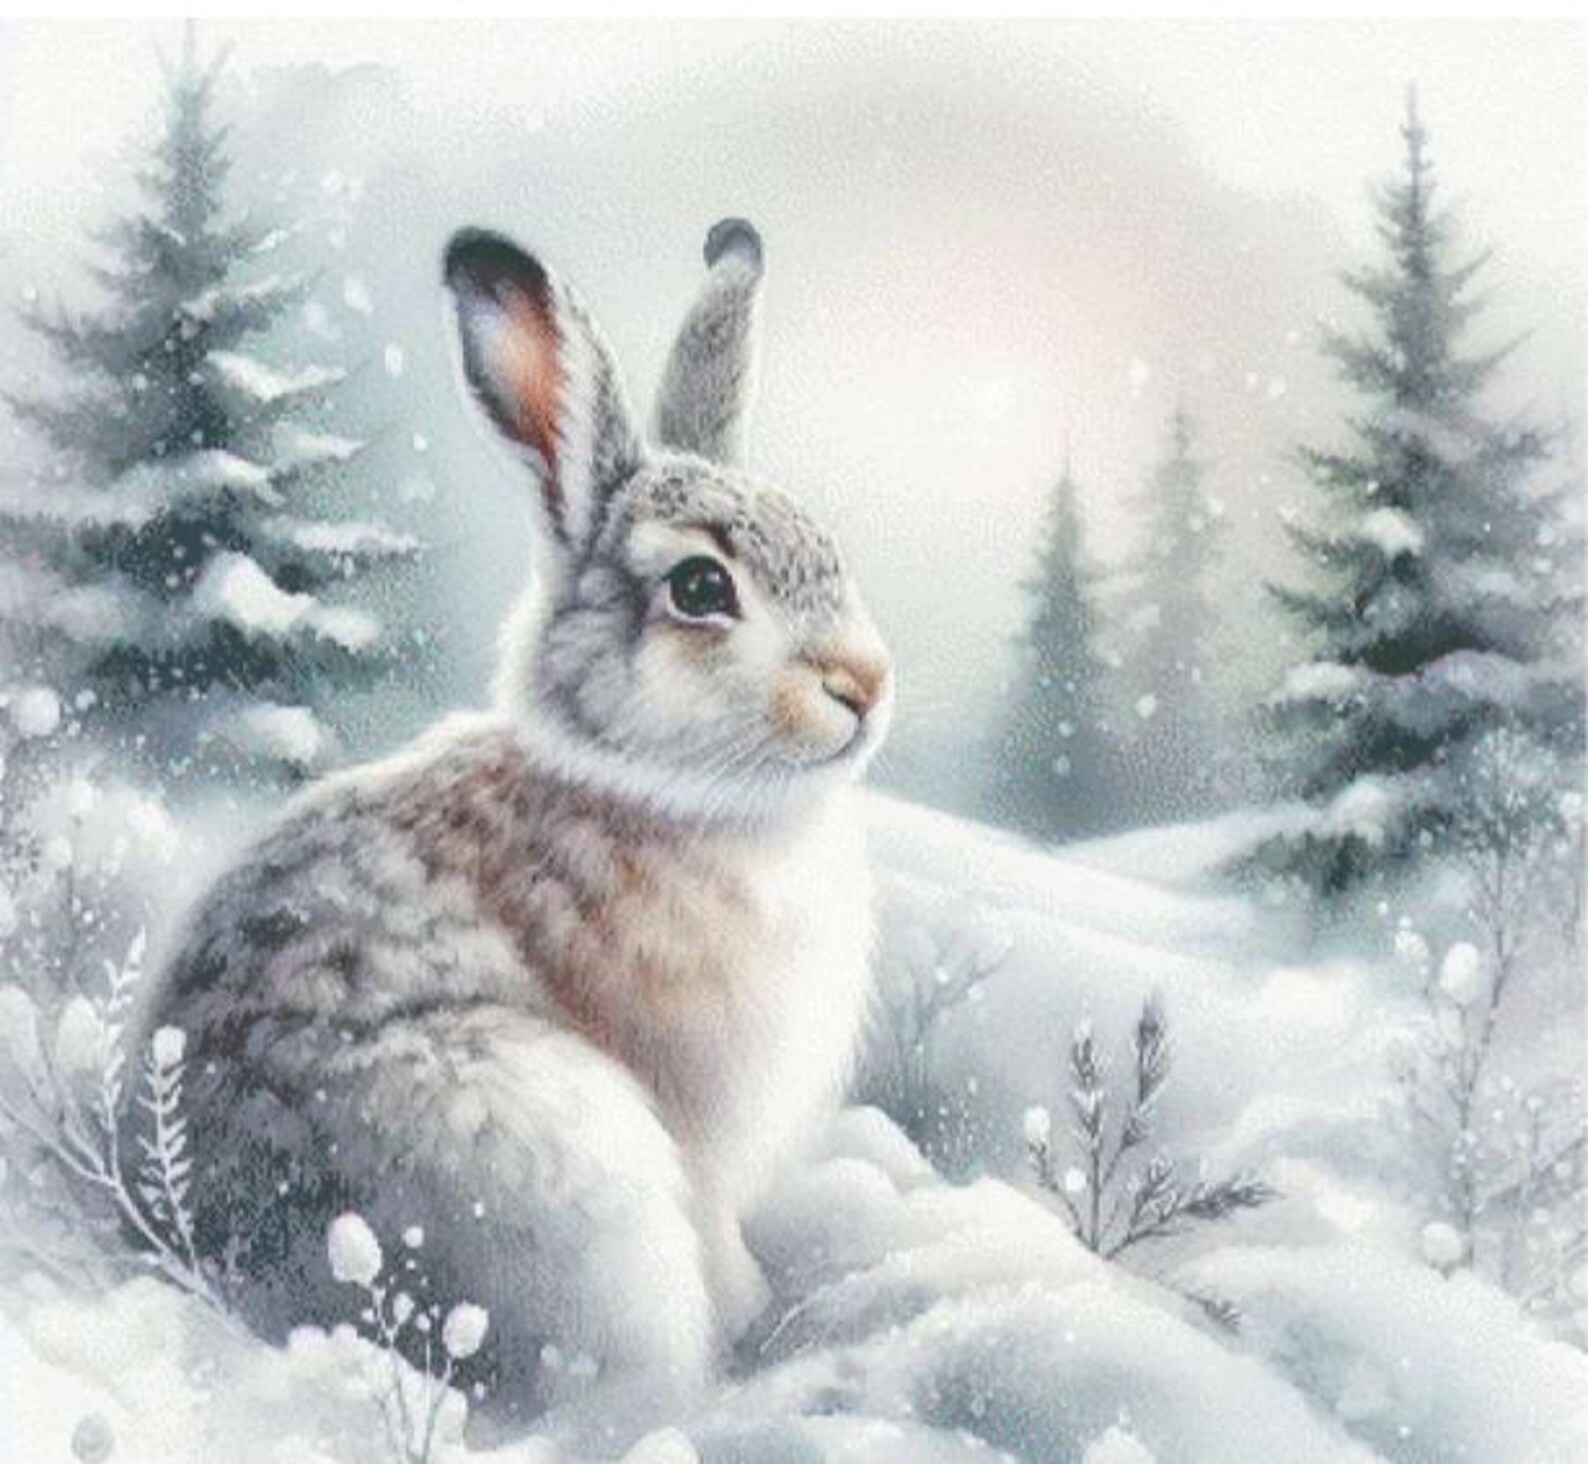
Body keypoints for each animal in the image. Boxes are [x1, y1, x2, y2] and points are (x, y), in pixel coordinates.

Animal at [142, 216, 893, 1438]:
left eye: (828, 550)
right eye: (701, 589)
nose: (863, 686)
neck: (649, 787)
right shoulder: (692, 1121)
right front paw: (755, 1315)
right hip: (556, 1158)